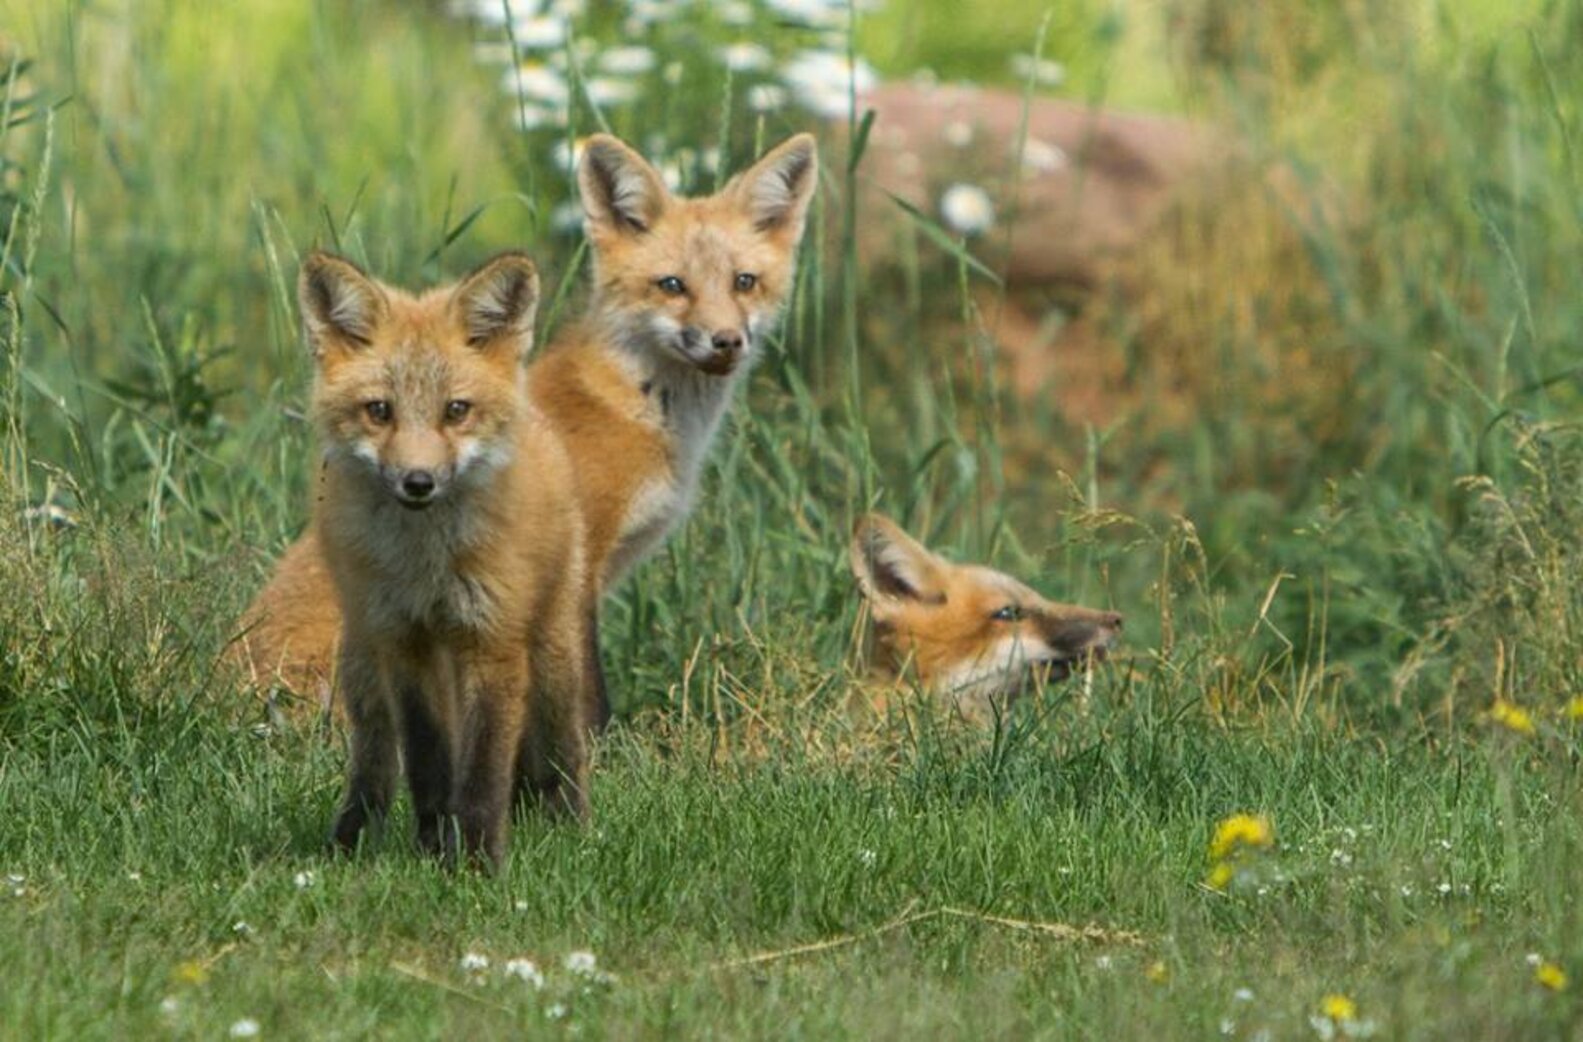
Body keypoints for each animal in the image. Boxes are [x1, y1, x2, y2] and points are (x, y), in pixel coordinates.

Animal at [235, 132, 820, 724]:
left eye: (744, 283)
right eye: (672, 285)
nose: (726, 342)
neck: (635, 411)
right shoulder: (576, 565)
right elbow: (586, 691)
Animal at [302, 249, 597, 868]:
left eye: (456, 410)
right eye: (379, 411)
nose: (418, 482)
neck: (427, 567)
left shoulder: (494, 640)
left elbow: (483, 767)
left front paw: (478, 861)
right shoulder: (405, 642)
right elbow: (429, 759)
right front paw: (435, 846)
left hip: (552, 651)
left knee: (563, 749)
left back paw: (572, 829)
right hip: (362, 660)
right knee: (374, 764)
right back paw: (350, 841)